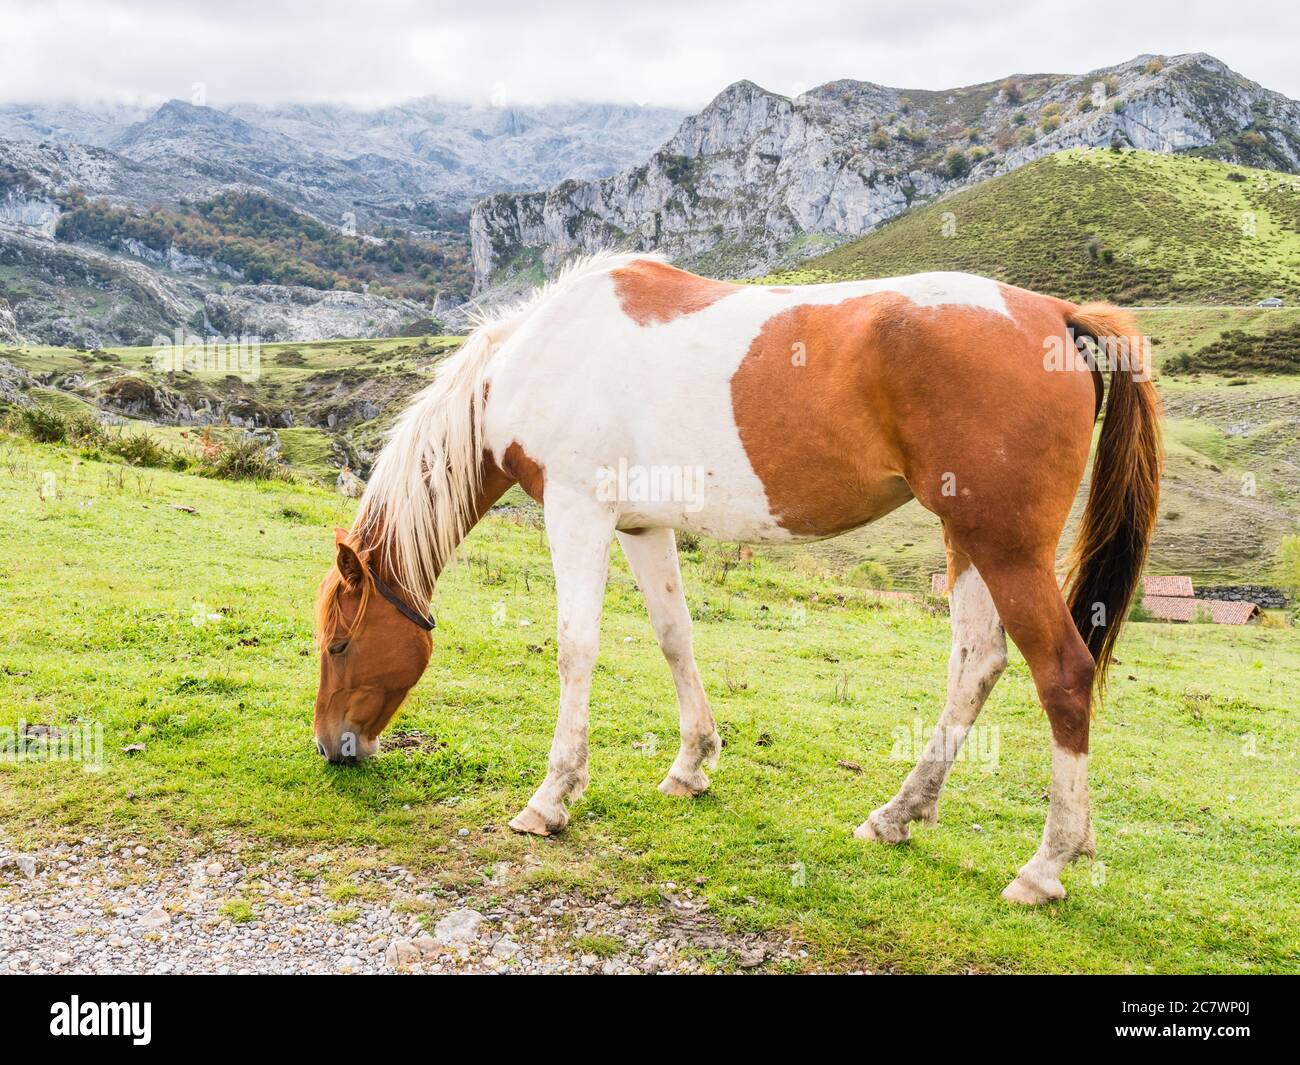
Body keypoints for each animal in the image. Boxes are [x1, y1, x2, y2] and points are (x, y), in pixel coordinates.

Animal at [314, 251, 1161, 904]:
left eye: (338, 644)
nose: (331, 747)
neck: (540, 356)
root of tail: (1056, 315)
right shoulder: (642, 526)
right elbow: (673, 636)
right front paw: (691, 764)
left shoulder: (578, 511)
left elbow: (576, 647)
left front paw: (551, 798)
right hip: (970, 539)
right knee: (977, 663)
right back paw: (896, 815)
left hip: (1006, 546)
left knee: (1062, 673)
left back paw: (1044, 866)